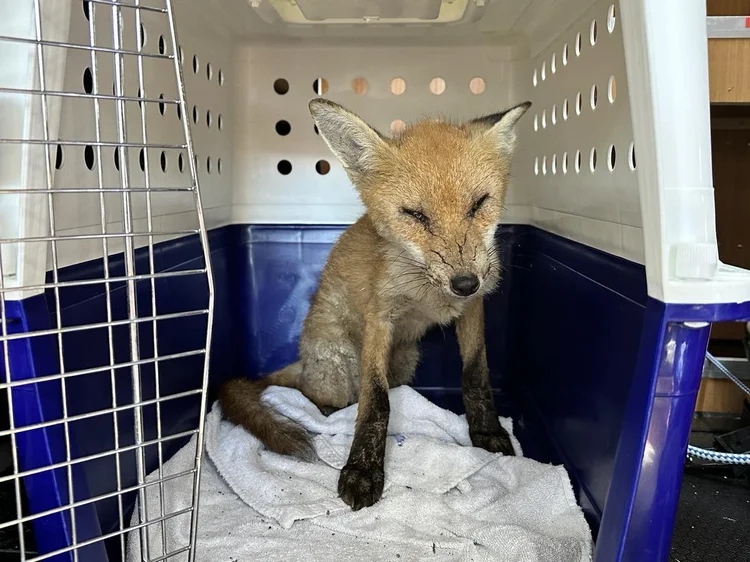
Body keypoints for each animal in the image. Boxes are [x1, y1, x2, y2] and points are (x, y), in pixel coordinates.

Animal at [219, 97, 531, 511]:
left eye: (479, 204)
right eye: (415, 215)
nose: (465, 283)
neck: (428, 293)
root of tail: (303, 361)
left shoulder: (472, 311)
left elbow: (476, 376)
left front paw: (487, 431)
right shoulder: (379, 319)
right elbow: (375, 403)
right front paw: (362, 470)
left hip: (407, 360)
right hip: (340, 365)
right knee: (319, 399)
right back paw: (325, 416)